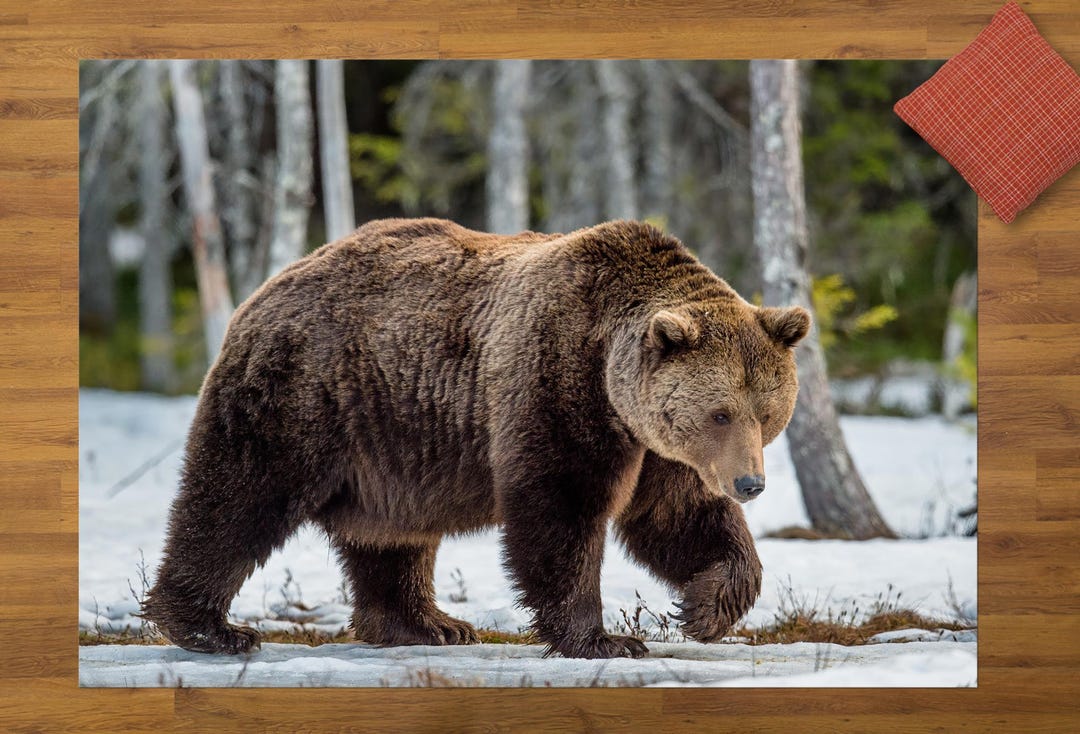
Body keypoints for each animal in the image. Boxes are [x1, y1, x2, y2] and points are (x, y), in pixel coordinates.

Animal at [141, 217, 810, 659]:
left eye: (766, 411)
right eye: (720, 413)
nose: (750, 483)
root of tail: (264, 290)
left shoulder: (655, 446)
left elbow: (678, 517)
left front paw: (703, 609)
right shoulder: (556, 385)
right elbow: (561, 511)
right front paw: (604, 638)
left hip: (389, 444)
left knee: (391, 537)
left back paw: (427, 624)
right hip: (303, 398)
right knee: (238, 498)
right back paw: (210, 627)